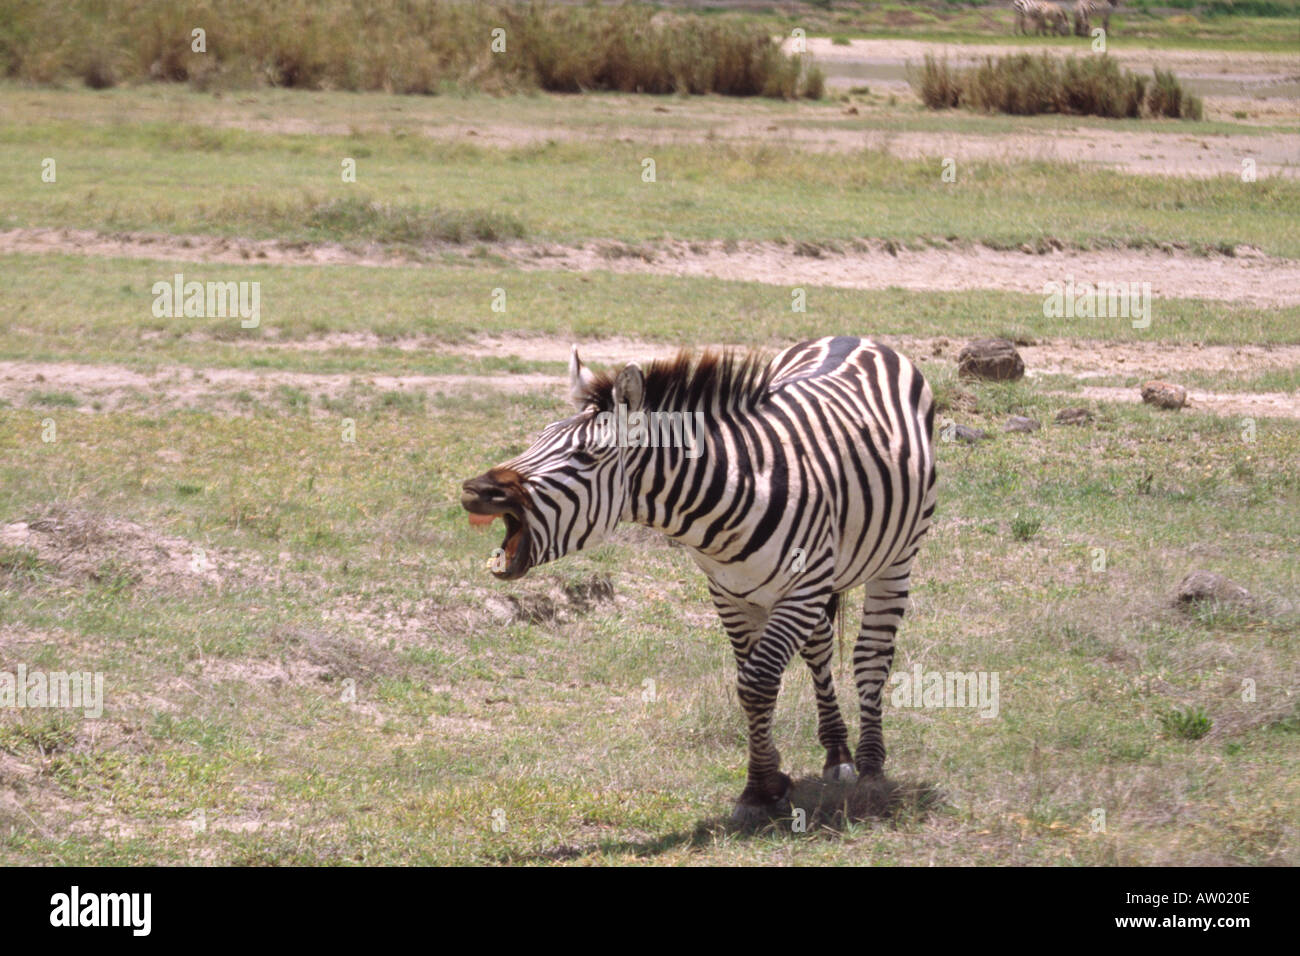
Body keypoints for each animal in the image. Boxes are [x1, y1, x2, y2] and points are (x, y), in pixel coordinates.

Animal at [461, 337, 937, 824]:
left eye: (585, 456)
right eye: (538, 438)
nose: (475, 490)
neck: (731, 493)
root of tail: (855, 340)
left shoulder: (801, 588)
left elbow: (758, 683)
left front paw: (760, 787)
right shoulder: (729, 591)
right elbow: (751, 681)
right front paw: (768, 779)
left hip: (896, 558)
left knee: (872, 655)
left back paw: (871, 766)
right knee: (819, 646)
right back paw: (838, 752)